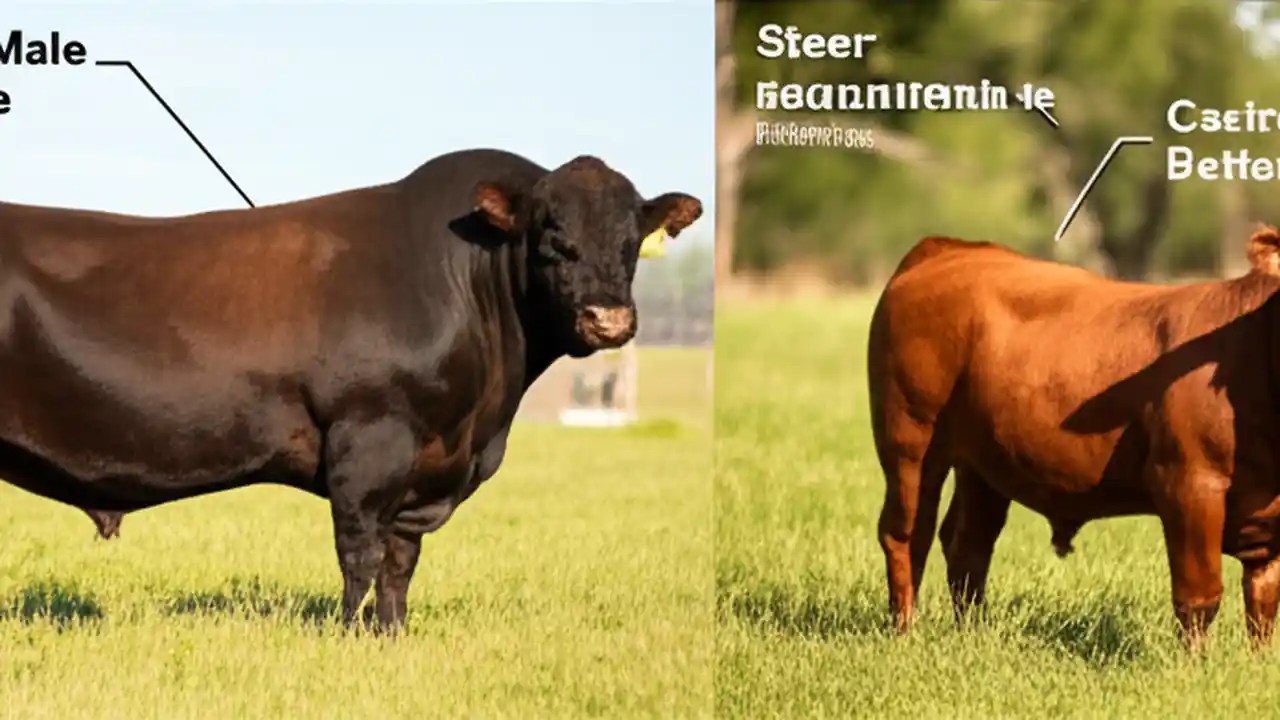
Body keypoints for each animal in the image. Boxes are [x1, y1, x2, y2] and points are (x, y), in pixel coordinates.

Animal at [0, 148, 701, 631]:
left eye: (632, 242)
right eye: (553, 237)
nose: (608, 320)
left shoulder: (427, 466)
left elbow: (401, 561)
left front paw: (392, 636)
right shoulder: (370, 437)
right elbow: (360, 552)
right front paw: (346, 636)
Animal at [868, 228, 1280, 650]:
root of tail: (949, 249)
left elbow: (1263, 599)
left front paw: (1258, 659)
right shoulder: (1188, 483)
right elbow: (1199, 597)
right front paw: (1196, 663)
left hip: (983, 464)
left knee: (967, 543)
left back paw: (974, 633)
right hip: (911, 443)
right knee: (907, 536)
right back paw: (905, 631)